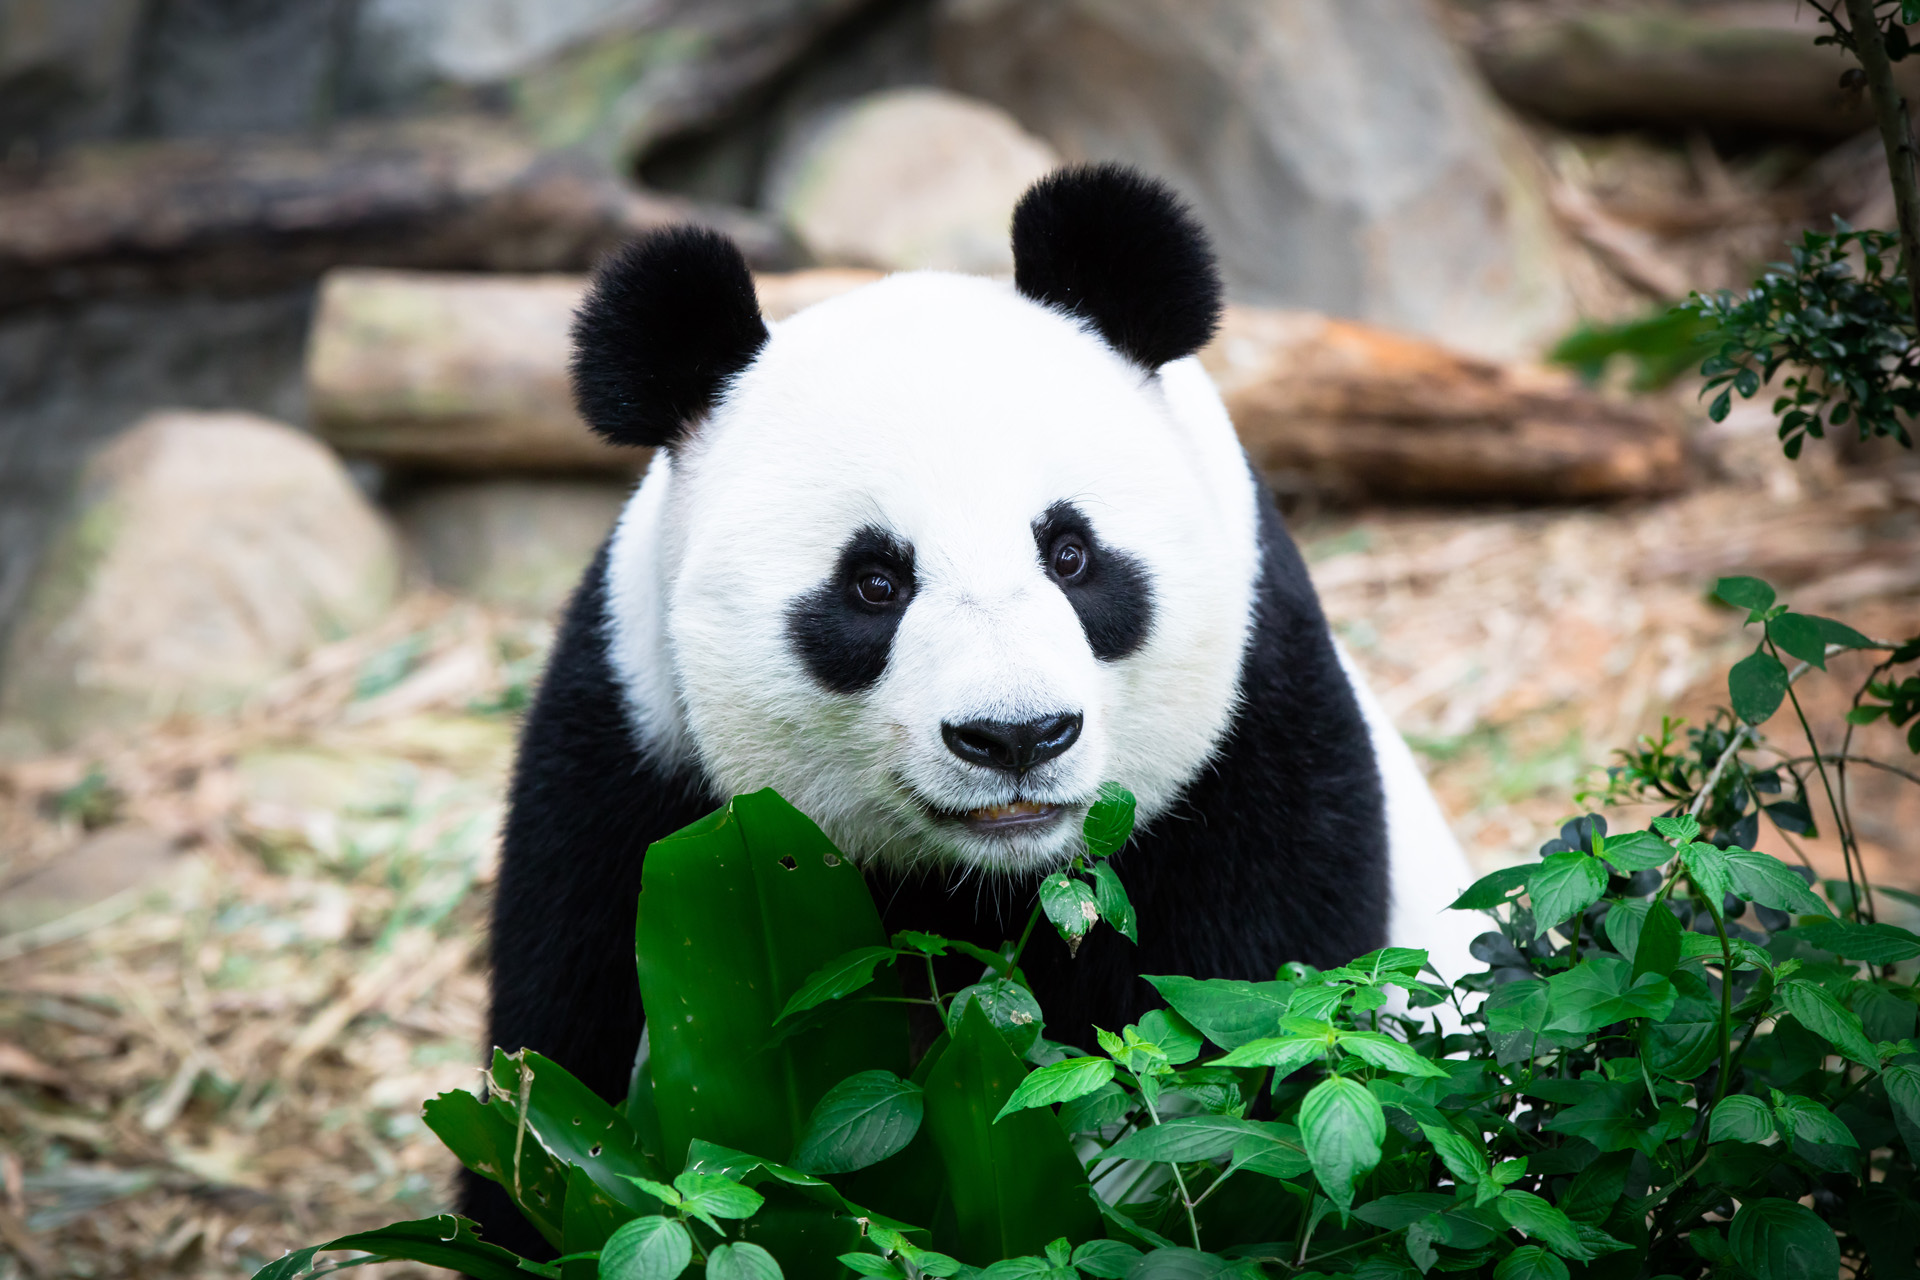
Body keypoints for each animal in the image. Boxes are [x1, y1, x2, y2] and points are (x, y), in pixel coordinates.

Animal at [465, 165, 1482, 1251]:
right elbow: (554, 1067)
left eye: (1071, 554)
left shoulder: (1259, 723)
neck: (983, 882)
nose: (1016, 736)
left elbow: (1259, 1023)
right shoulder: (634, 750)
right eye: (874, 583)